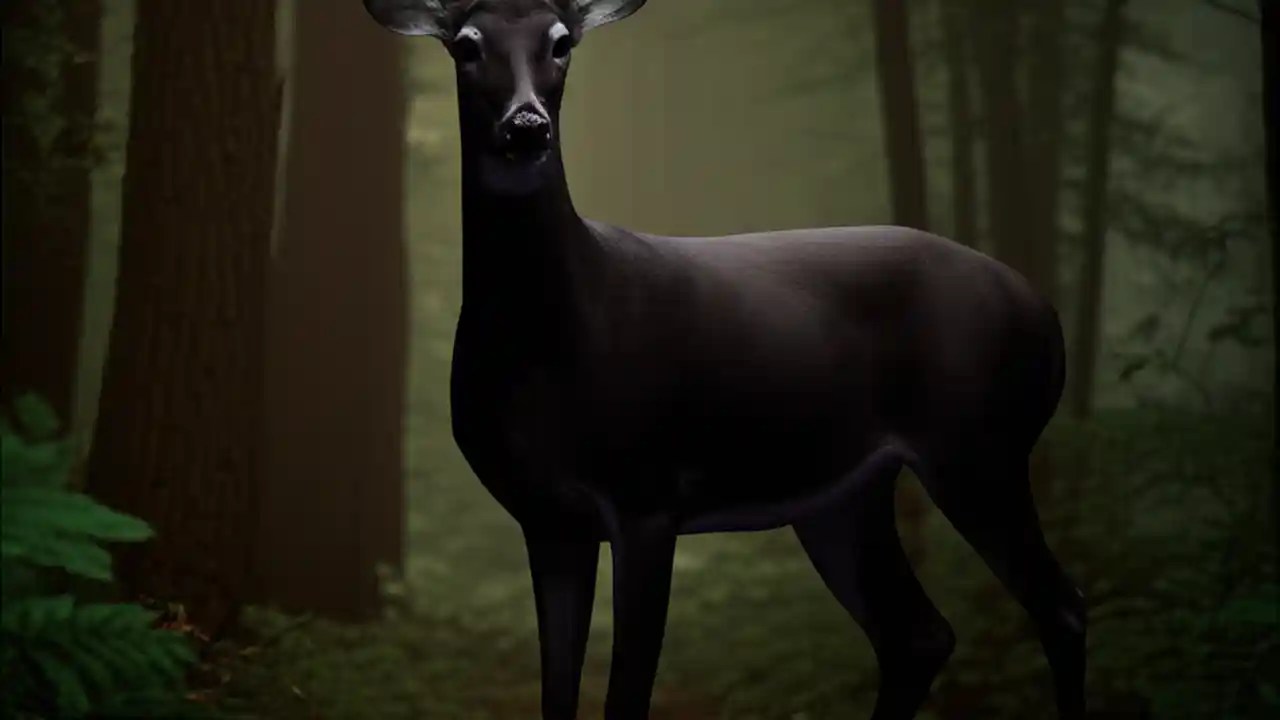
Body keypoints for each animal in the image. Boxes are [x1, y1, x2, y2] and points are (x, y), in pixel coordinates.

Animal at [362, 1, 1087, 718]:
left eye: (562, 40)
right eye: (465, 44)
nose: (527, 124)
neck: (550, 343)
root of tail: (1047, 319)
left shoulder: (648, 494)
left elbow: (627, 695)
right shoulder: (547, 517)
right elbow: (556, 693)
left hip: (980, 444)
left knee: (1060, 605)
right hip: (844, 494)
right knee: (919, 633)